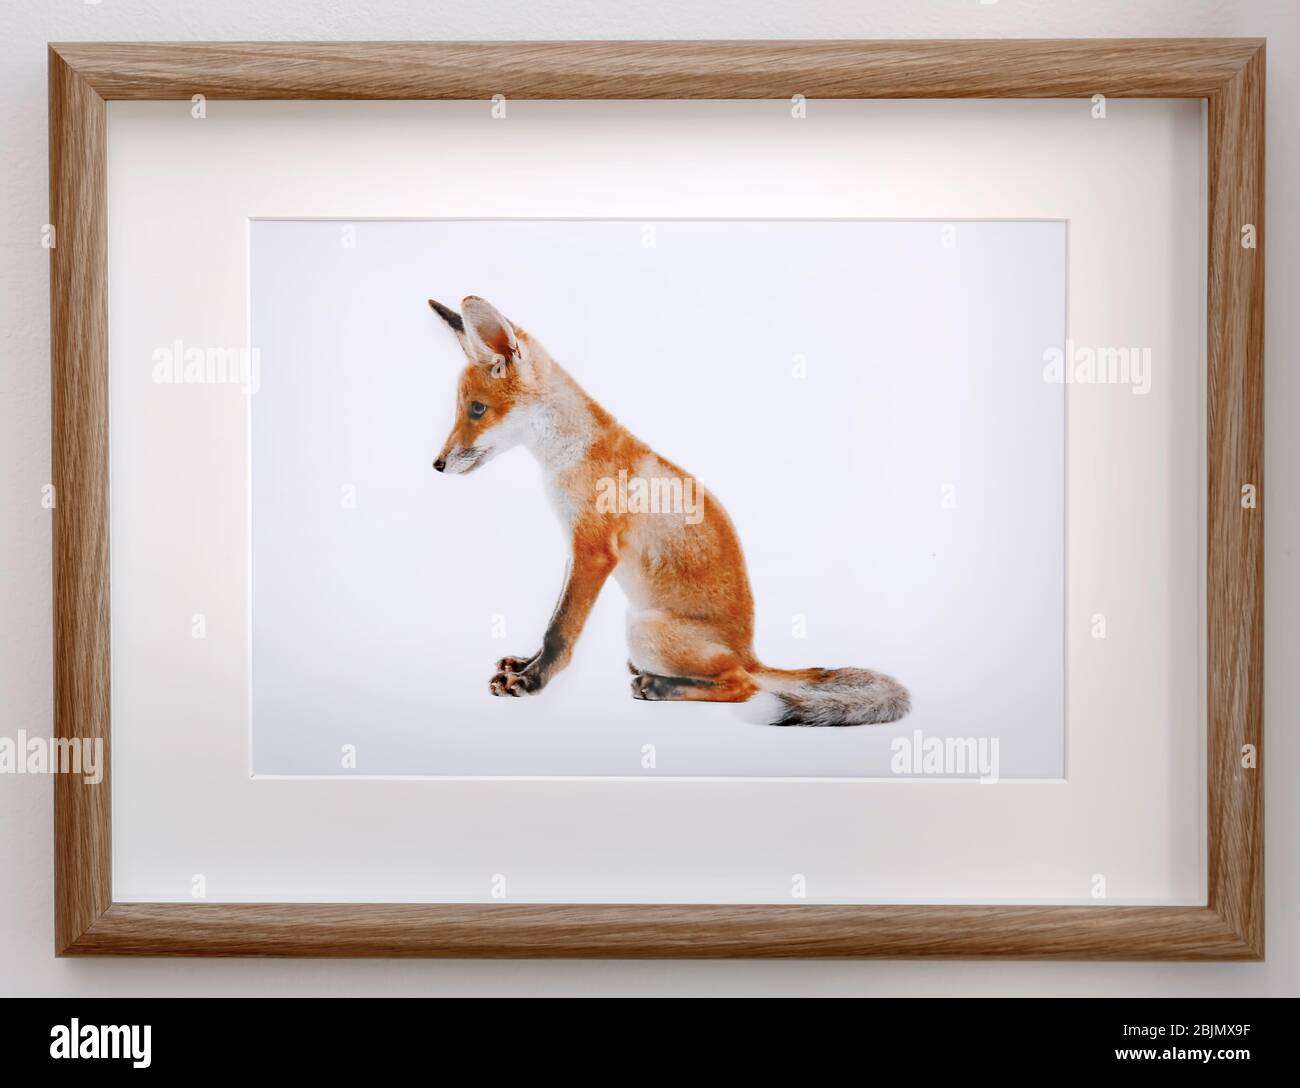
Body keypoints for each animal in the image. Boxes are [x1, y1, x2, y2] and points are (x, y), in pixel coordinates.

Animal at [428, 295, 910, 727]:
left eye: (477, 410)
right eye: (463, 409)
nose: (437, 465)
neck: (567, 455)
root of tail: (751, 653)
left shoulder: (594, 552)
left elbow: (561, 631)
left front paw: (533, 682)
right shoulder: (574, 550)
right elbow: (554, 618)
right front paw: (524, 665)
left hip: (643, 629)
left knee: (743, 685)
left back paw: (659, 686)